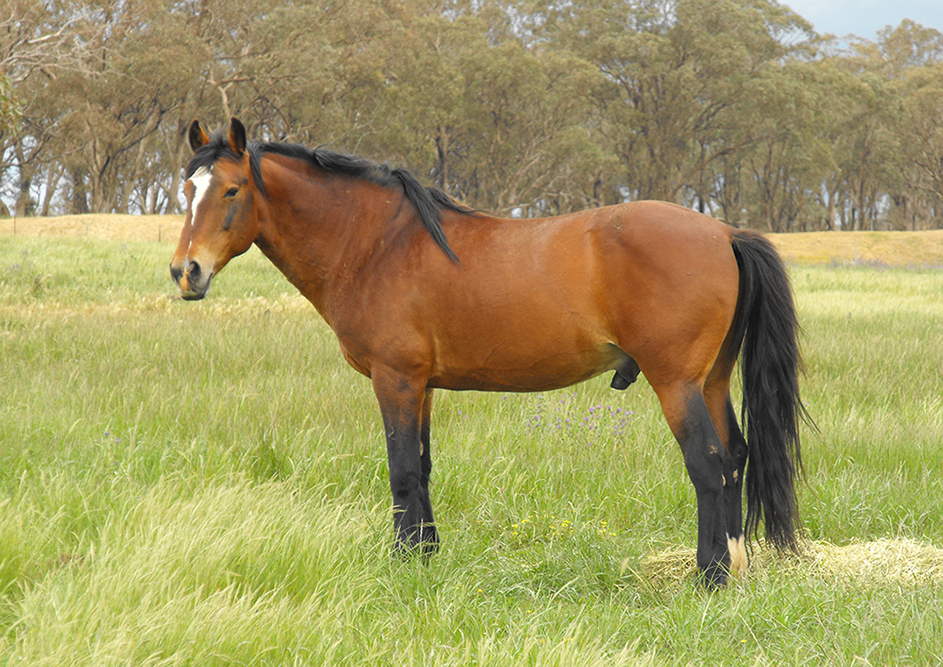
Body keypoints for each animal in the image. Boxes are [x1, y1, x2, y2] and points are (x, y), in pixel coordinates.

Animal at [170, 117, 808, 588]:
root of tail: (724, 232)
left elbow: (401, 470)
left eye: (232, 190)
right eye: (185, 190)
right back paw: (737, 566)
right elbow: (423, 466)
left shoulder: (394, 379)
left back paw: (711, 576)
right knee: (736, 454)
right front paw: (424, 556)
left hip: (675, 382)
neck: (378, 244)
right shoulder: (422, 385)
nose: (186, 272)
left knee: (708, 463)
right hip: (712, 380)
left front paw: (402, 566)